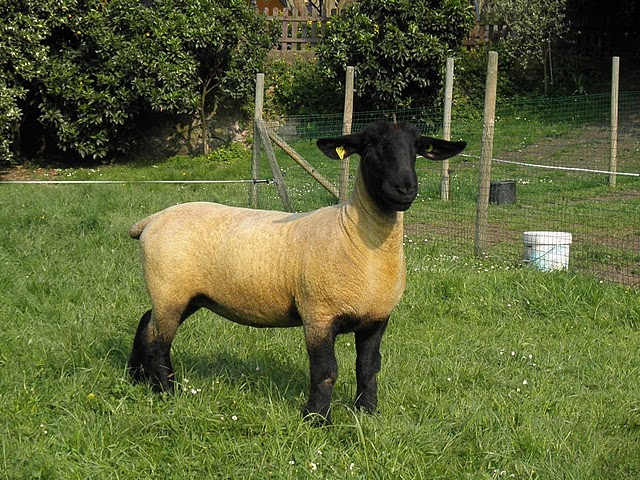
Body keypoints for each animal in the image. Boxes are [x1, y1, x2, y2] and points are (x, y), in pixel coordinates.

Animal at [128, 121, 466, 423]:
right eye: (370, 145)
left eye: (417, 147)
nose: (405, 189)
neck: (355, 237)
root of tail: (150, 220)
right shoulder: (318, 314)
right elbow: (325, 372)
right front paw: (317, 419)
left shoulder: (377, 318)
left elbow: (369, 368)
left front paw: (368, 413)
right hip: (170, 289)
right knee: (158, 340)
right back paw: (167, 391)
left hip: (185, 294)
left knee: (145, 323)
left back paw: (136, 378)